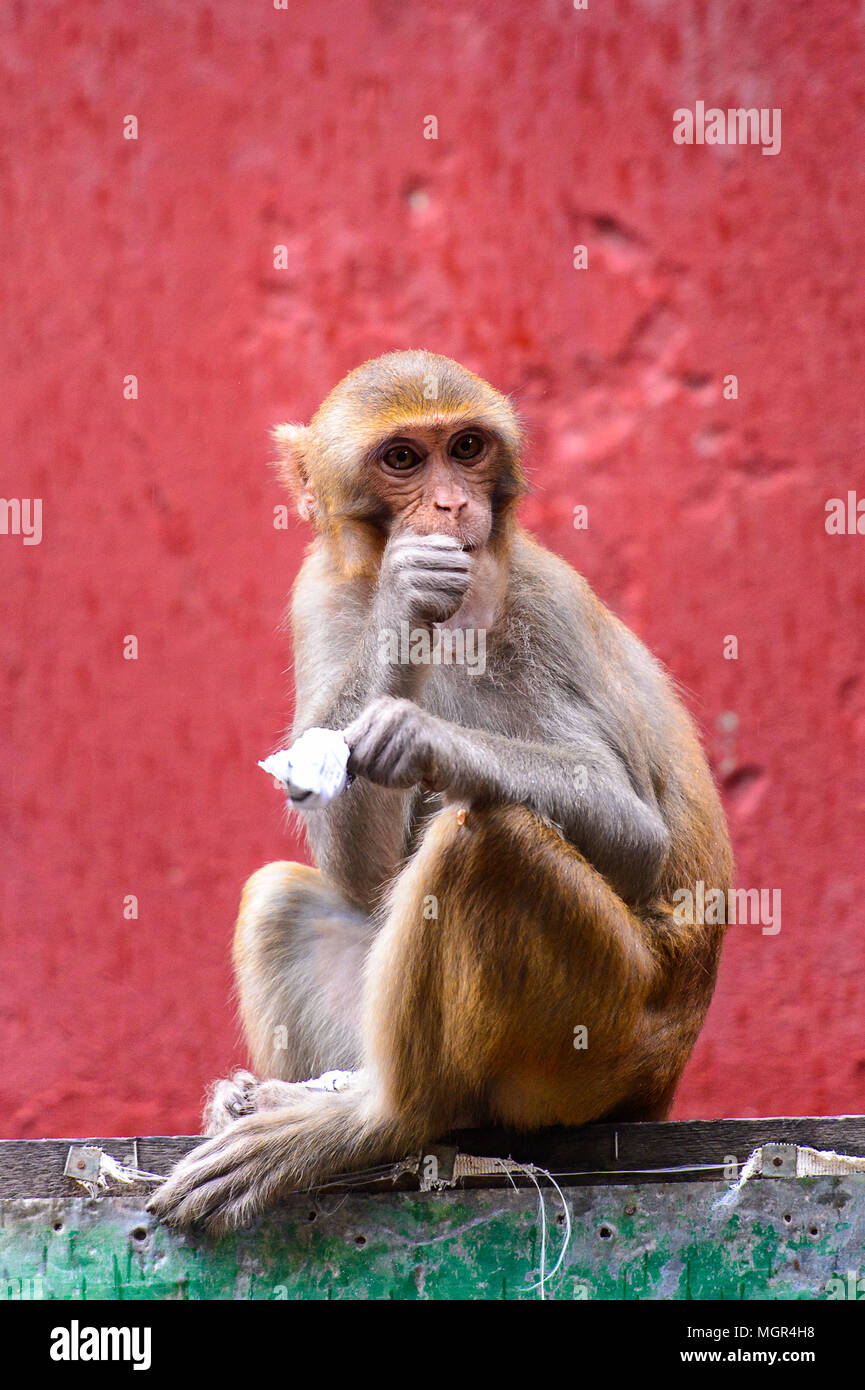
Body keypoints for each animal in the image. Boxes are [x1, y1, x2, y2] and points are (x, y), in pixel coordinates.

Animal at [148, 349, 732, 1233]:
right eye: (402, 459)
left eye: (465, 448)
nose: (453, 504)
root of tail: (663, 1075)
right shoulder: (320, 591)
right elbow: (359, 874)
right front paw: (402, 597)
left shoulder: (544, 607)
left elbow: (635, 835)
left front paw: (427, 741)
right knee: (282, 896)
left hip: (603, 1043)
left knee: (489, 844)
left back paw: (377, 1119)